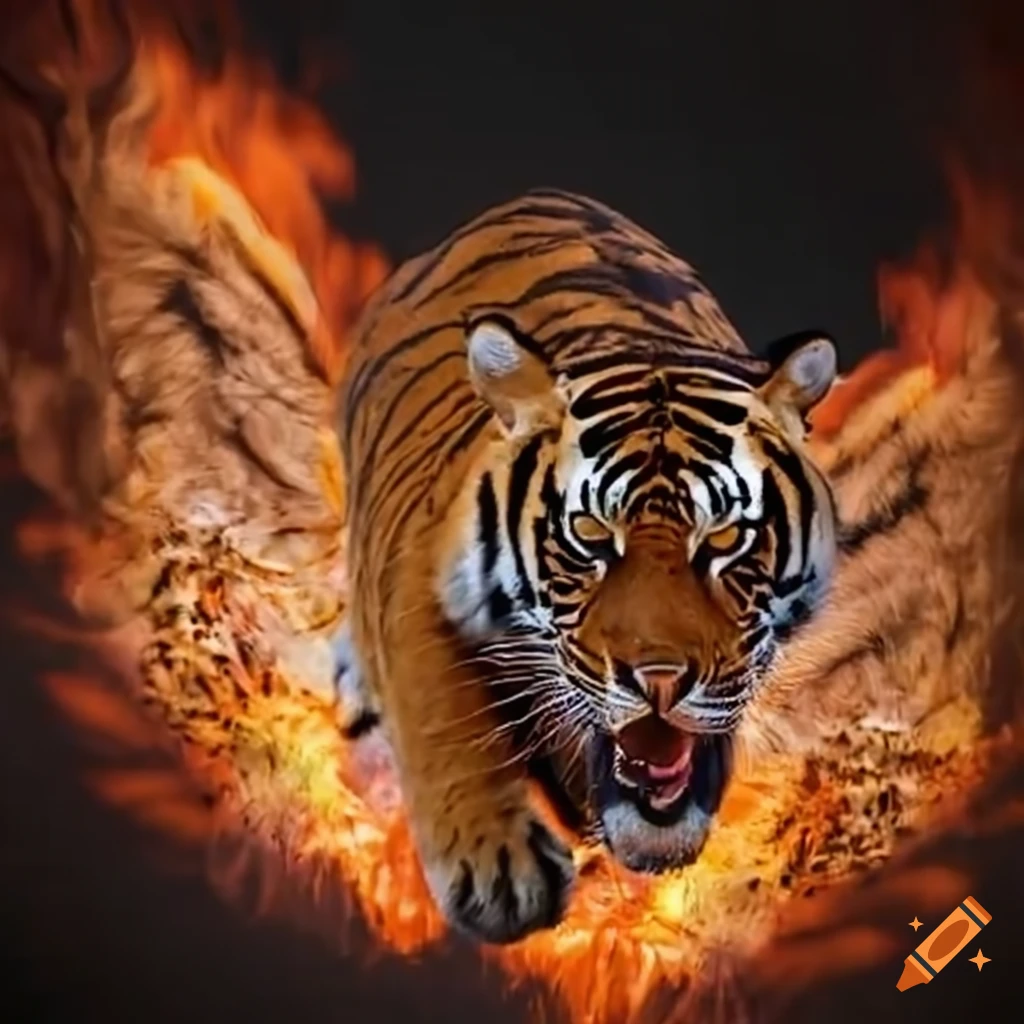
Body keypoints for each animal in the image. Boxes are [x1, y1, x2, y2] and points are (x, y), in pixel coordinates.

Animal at [336, 189, 838, 944]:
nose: (659, 678)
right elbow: (441, 710)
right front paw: (498, 866)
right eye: (592, 533)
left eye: (723, 535)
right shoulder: (412, 564)